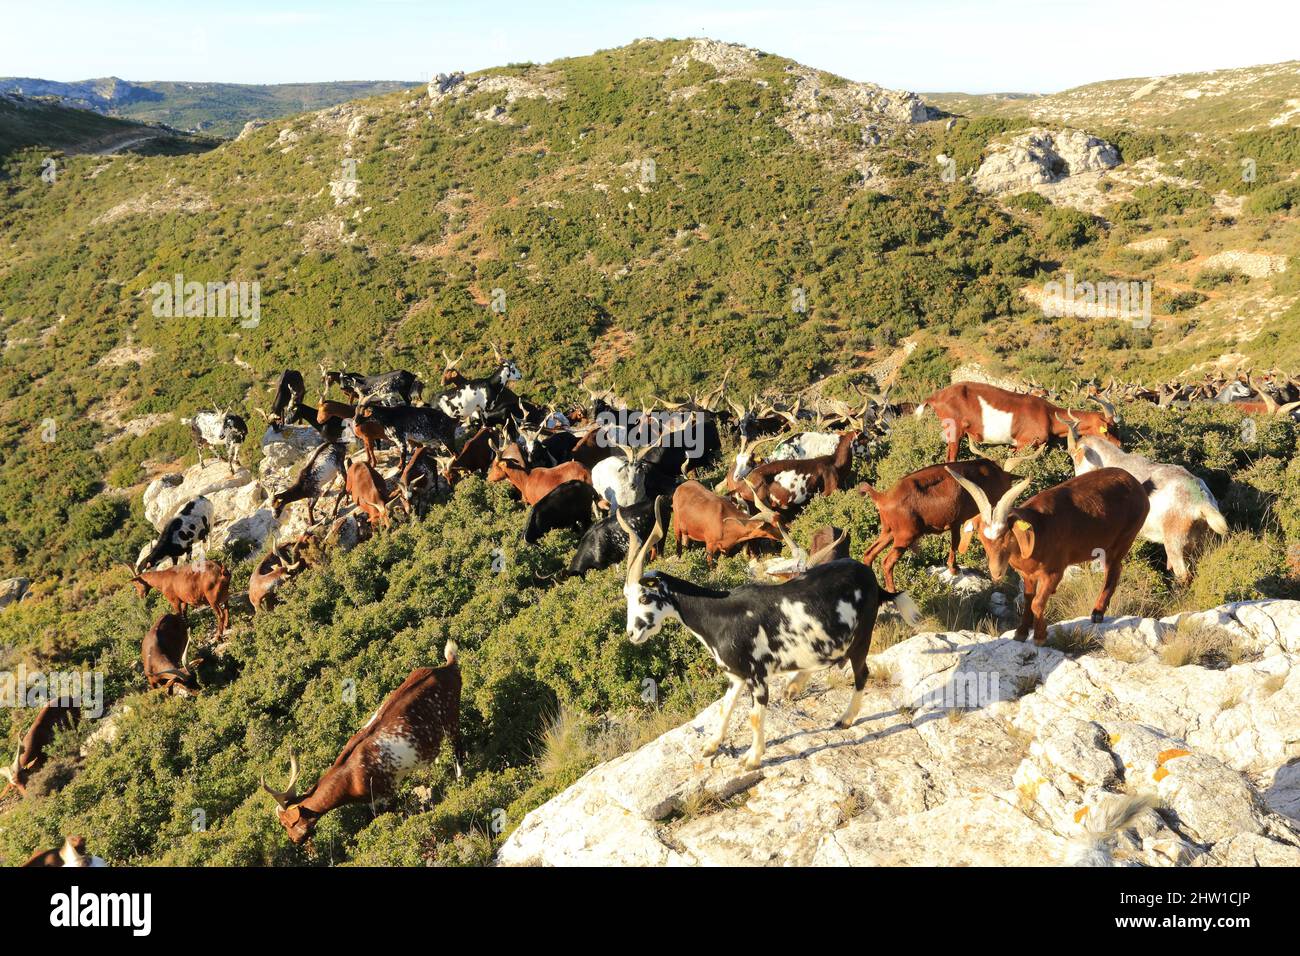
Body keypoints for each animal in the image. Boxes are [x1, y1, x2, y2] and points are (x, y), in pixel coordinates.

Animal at [261, 641, 464, 845]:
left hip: (451, 717)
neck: (350, 778)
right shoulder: (373, 799)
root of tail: (450, 666)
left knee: (458, 748)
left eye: (286, 824)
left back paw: (460, 779)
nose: (294, 840)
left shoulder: (385, 793)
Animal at [619, 499, 919, 768]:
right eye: (626, 597)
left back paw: (844, 718)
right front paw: (711, 746)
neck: (718, 616)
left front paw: (752, 759)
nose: (632, 633)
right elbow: (725, 707)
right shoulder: (736, 676)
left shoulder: (757, 675)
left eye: (644, 597)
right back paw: (795, 685)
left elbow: (753, 717)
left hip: (862, 636)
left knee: (861, 673)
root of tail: (872, 579)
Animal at [919, 382, 1119, 461]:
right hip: (955, 433)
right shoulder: (1024, 444)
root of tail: (934, 398)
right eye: (1107, 428)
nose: (1119, 445)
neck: (1047, 414)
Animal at [948, 466, 1151, 645]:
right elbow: (1028, 600)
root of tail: (1137, 484)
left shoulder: (1054, 572)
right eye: (982, 537)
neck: (1039, 527)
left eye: (1008, 535)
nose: (996, 572)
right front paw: (1021, 632)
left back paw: (1098, 612)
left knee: (1114, 569)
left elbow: (1037, 603)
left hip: (1125, 537)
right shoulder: (1028, 575)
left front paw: (1040, 636)